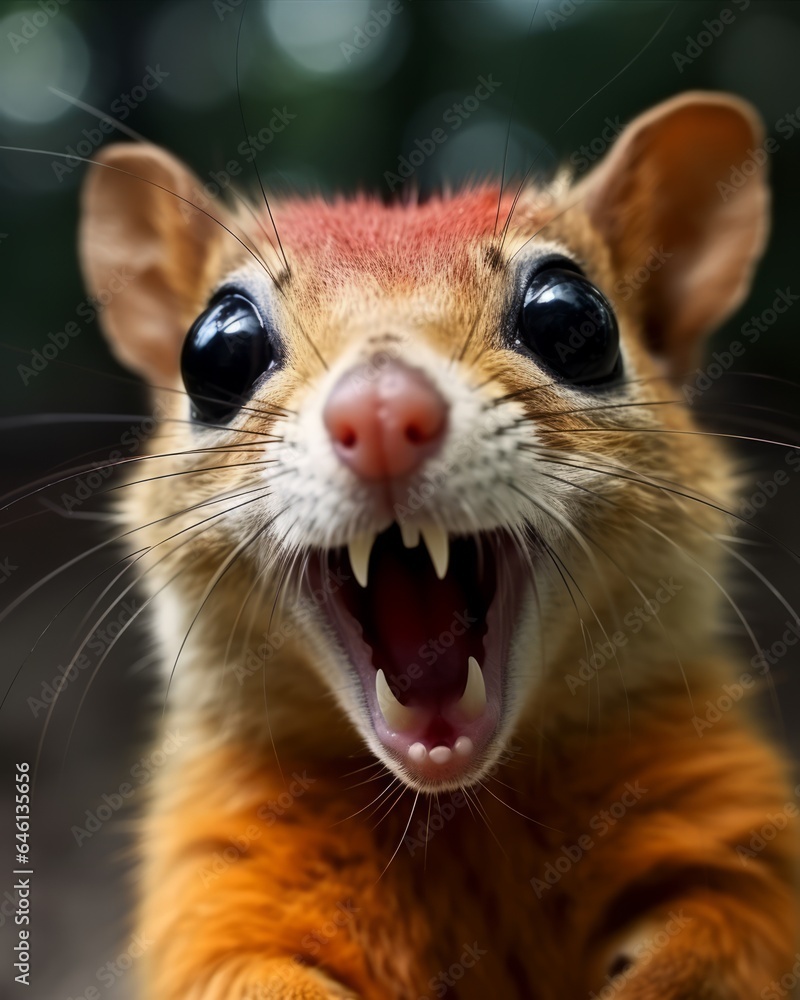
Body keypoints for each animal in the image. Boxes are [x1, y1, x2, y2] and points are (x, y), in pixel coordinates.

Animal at [77, 91, 798, 998]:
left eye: (574, 320)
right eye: (216, 349)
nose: (383, 411)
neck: (457, 806)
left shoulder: (727, 831)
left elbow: (727, 937)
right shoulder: (214, 887)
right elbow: (237, 973)